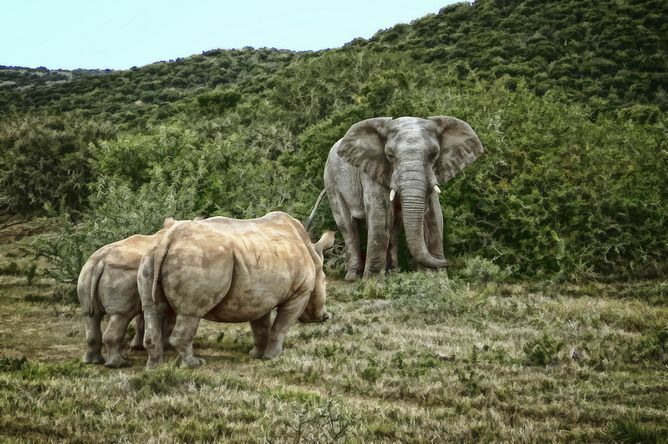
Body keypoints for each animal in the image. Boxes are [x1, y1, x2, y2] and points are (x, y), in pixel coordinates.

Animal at [322, 115, 480, 280]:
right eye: (390, 156)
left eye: (434, 155)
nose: (446, 261)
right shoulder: (372, 170)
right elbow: (381, 215)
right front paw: (373, 282)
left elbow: (434, 216)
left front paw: (438, 278)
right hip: (331, 182)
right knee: (348, 226)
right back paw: (353, 277)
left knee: (394, 228)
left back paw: (393, 274)